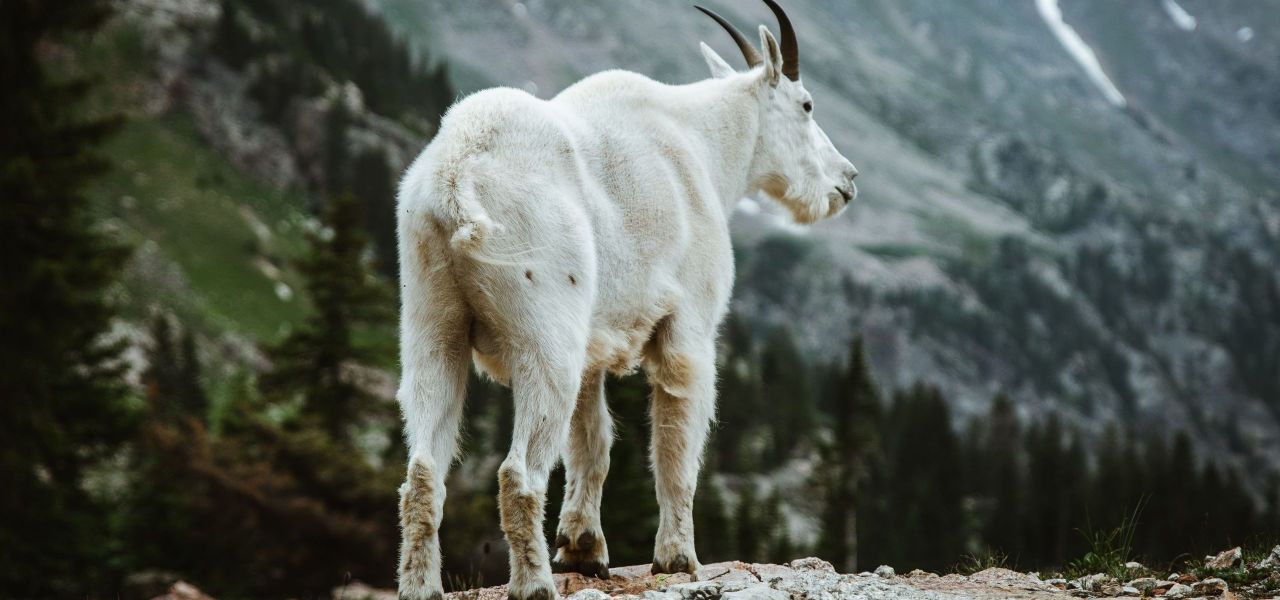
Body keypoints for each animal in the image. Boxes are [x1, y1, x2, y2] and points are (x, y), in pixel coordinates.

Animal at [395, 2, 857, 598]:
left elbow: (593, 443)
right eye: (806, 105)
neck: (703, 147)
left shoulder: (593, 347)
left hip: (432, 321)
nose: (847, 181)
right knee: (518, 475)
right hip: (545, 338)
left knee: (422, 472)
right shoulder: (689, 329)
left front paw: (583, 550)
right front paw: (677, 557)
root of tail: (456, 181)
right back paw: (534, 583)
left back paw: (421, 585)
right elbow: (676, 445)